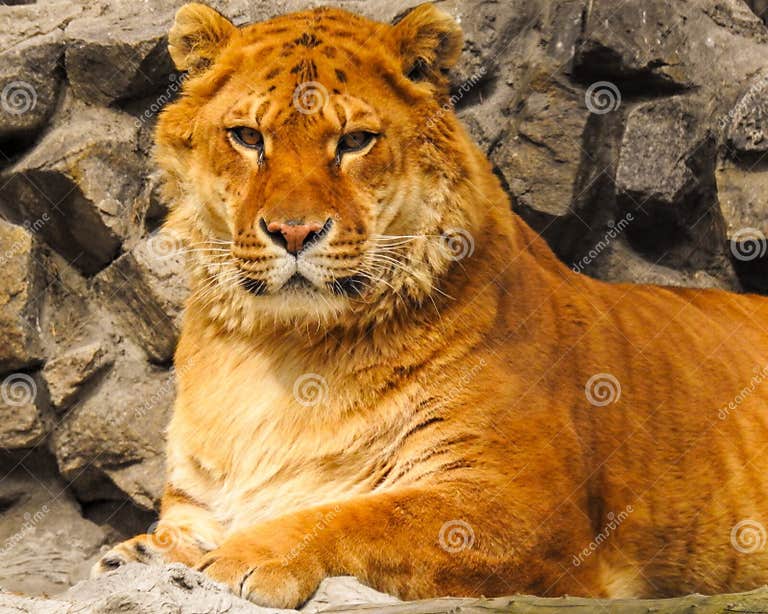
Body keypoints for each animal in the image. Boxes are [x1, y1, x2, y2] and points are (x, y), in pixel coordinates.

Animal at [93, 2, 768, 608]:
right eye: (247, 137)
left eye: (355, 142)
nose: (293, 231)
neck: (281, 347)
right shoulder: (199, 497)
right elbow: (179, 532)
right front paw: (135, 555)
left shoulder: (526, 513)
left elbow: (357, 517)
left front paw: (248, 557)